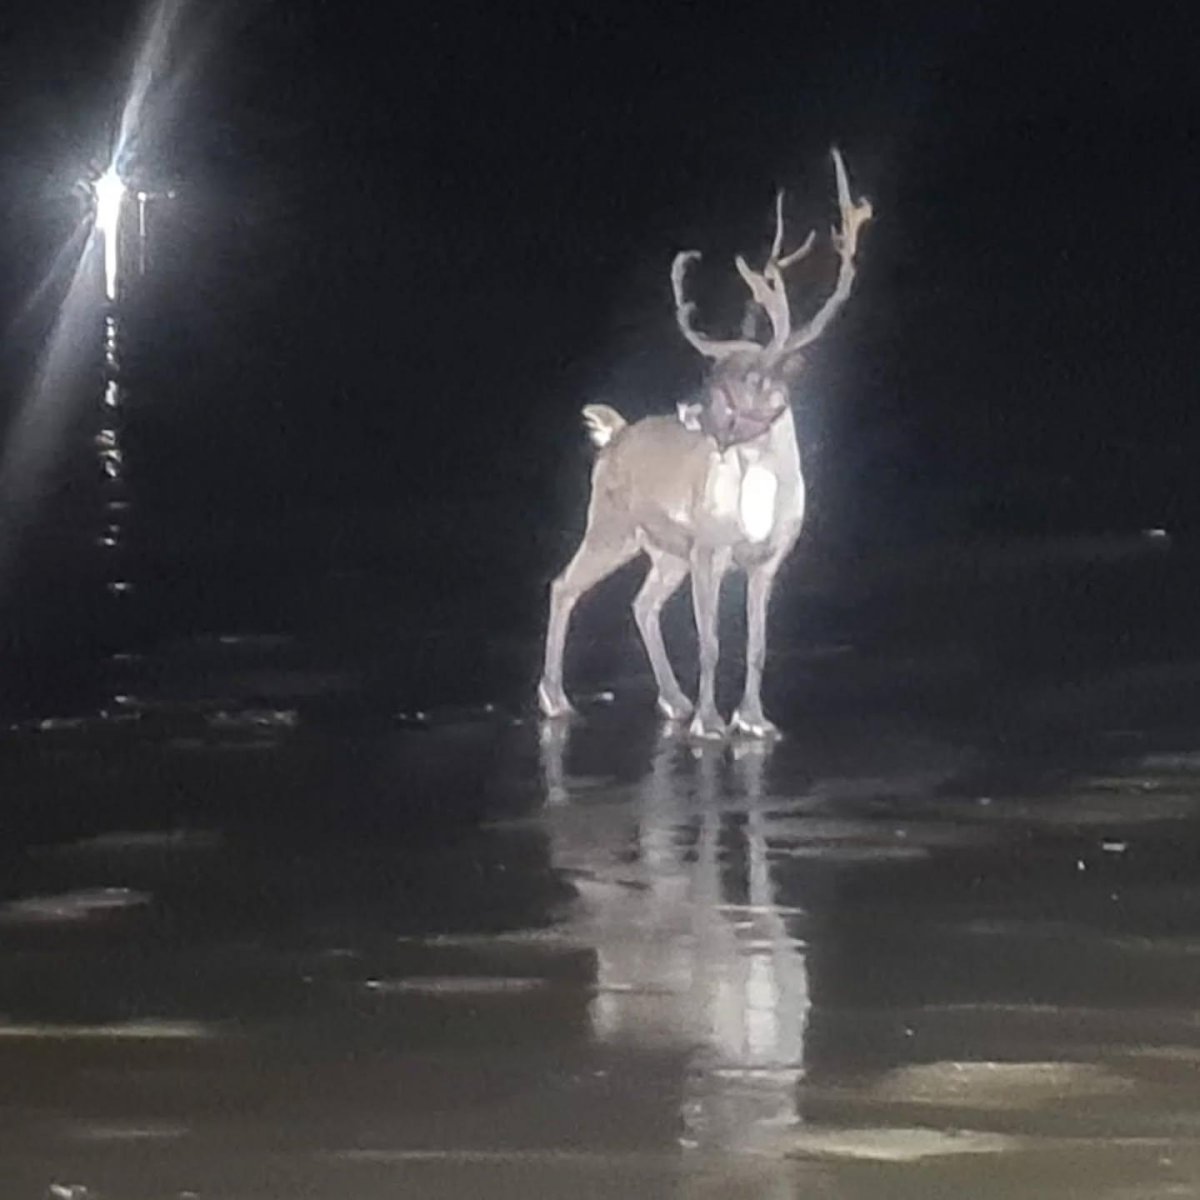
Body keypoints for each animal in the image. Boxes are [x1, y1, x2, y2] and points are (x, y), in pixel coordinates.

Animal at [538, 148, 873, 739]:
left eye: (751, 380)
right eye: (711, 374)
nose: (691, 410)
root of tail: (614, 433)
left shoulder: (767, 560)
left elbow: (758, 645)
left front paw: (755, 720)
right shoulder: (708, 550)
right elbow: (711, 642)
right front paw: (712, 722)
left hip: (662, 550)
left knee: (641, 603)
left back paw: (673, 700)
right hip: (612, 525)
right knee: (564, 585)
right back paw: (556, 699)